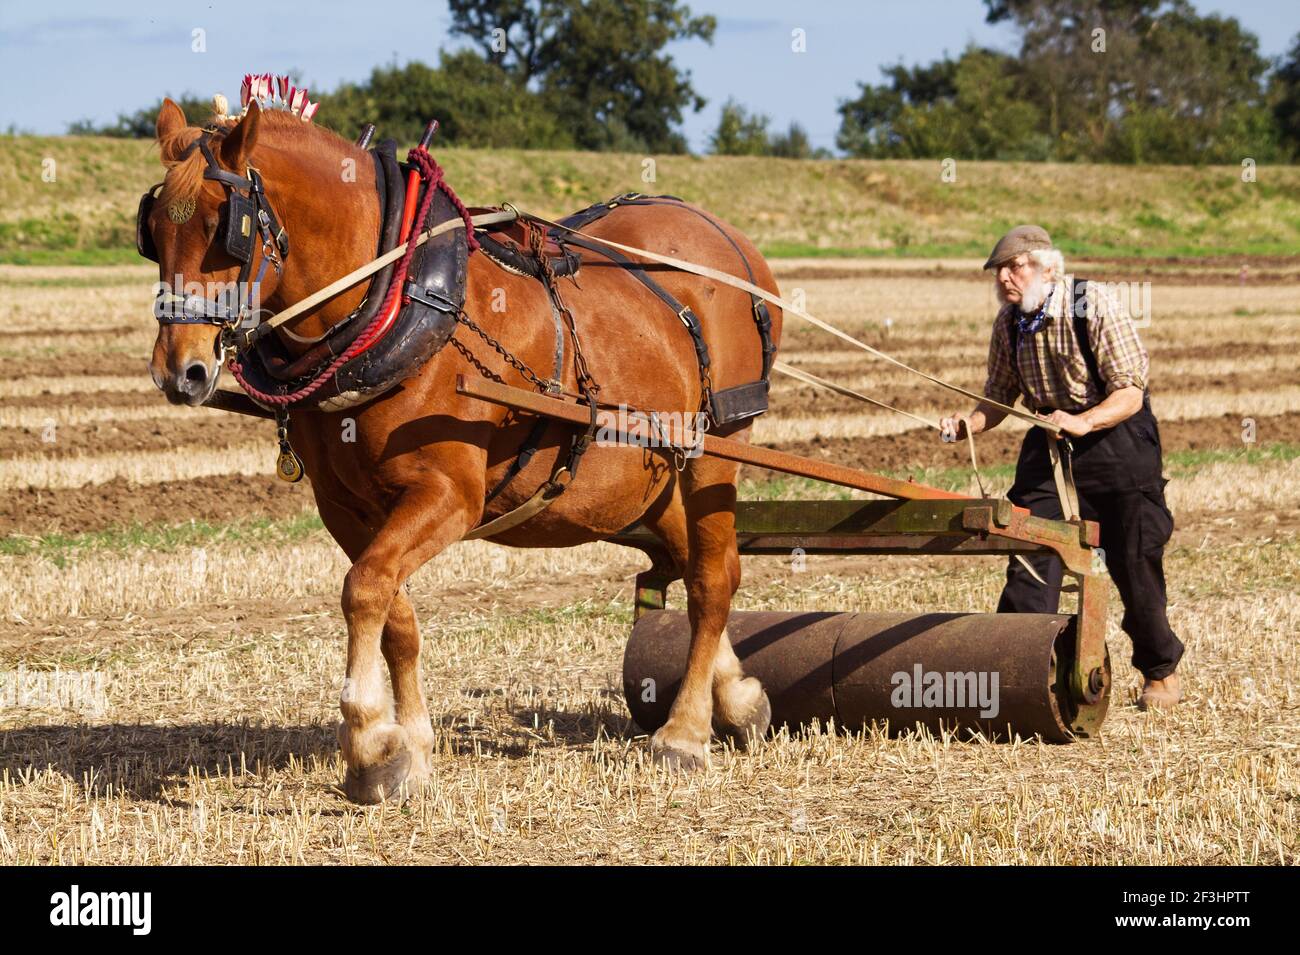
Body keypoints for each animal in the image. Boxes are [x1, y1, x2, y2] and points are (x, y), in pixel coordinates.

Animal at [143, 97, 784, 803]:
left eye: (222, 228)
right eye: (153, 231)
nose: (180, 372)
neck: (390, 298)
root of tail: (732, 240)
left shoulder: (448, 494)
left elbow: (364, 589)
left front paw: (367, 740)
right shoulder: (346, 509)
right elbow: (394, 613)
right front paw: (411, 749)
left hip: (720, 447)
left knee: (712, 578)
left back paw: (685, 732)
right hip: (654, 474)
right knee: (692, 558)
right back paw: (737, 699)